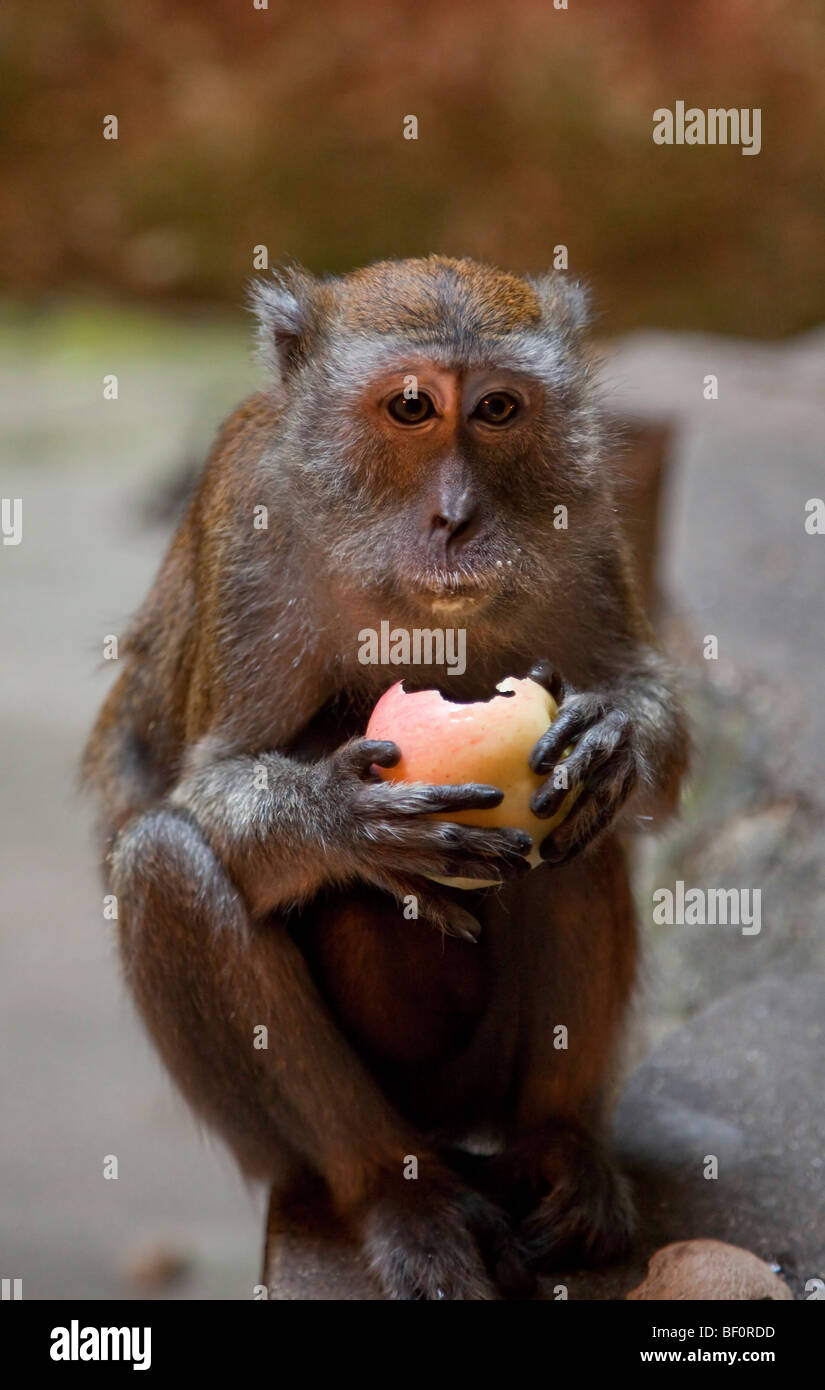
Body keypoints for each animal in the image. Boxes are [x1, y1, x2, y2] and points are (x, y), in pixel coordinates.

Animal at [83, 256, 688, 1300]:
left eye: (496, 408)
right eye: (411, 407)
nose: (457, 518)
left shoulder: (583, 518)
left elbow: (651, 730)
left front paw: (614, 737)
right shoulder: (256, 542)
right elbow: (201, 789)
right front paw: (349, 824)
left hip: (479, 1081)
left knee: (580, 842)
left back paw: (557, 1149)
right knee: (164, 864)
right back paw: (395, 1190)